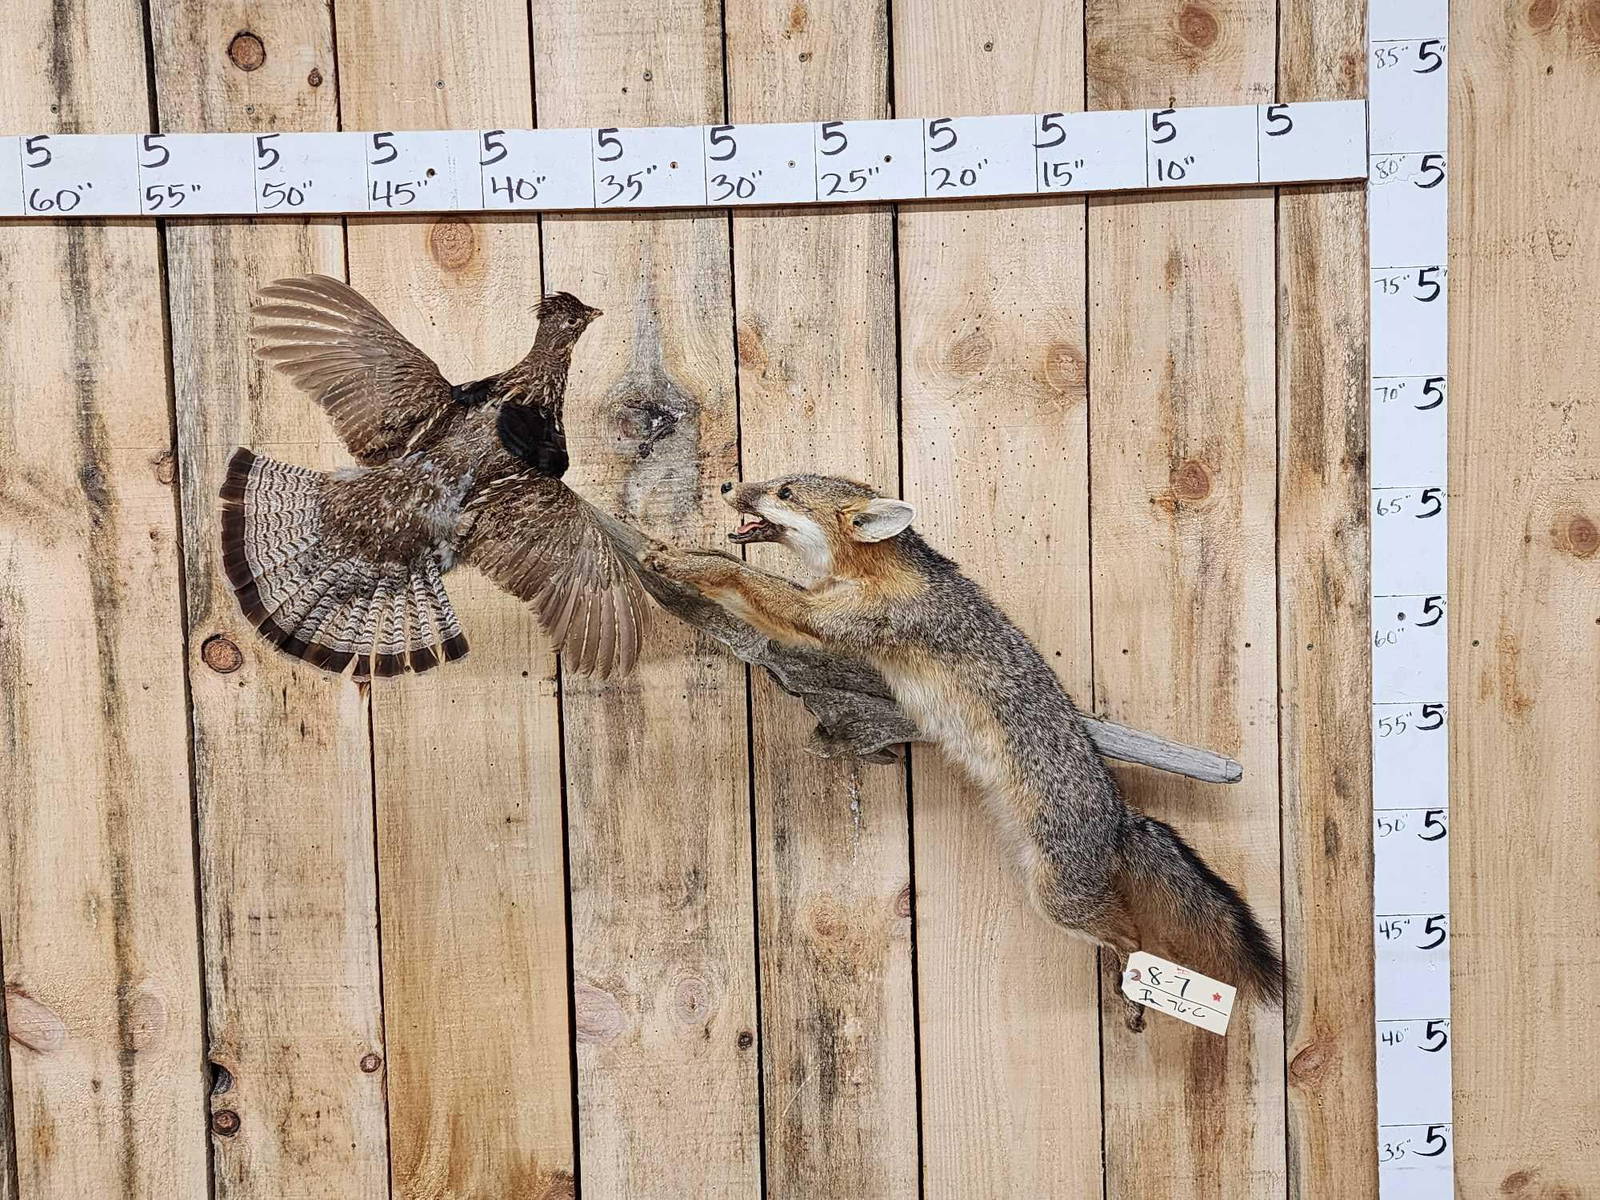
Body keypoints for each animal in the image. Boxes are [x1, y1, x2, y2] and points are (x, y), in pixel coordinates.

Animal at [642, 473, 1283, 1030]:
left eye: (786, 491)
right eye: (773, 480)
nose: (727, 484)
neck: (873, 575)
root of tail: (1118, 814)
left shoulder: (830, 618)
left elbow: (745, 579)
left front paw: (685, 562)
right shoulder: (820, 609)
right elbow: (741, 580)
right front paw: (684, 554)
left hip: (1058, 901)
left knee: (1133, 936)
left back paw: (1134, 988)